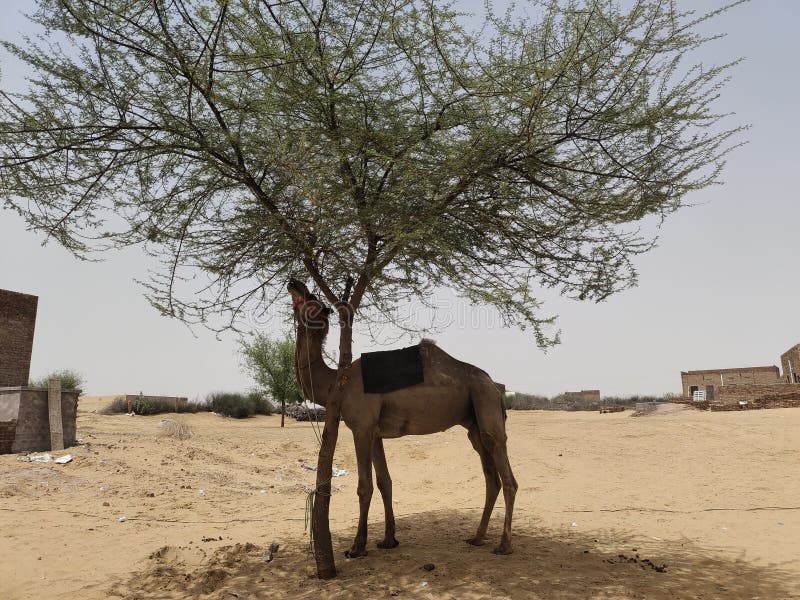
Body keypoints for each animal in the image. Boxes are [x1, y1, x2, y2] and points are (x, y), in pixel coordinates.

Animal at [288, 279, 518, 558]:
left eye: (311, 297)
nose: (294, 282)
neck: (336, 384)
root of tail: (495, 386)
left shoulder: (361, 427)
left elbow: (364, 486)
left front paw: (357, 547)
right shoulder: (375, 433)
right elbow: (384, 482)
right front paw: (389, 539)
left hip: (485, 403)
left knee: (507, 476)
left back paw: (504, 545)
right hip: (475, 423)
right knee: (491, 478)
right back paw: (477, 537)